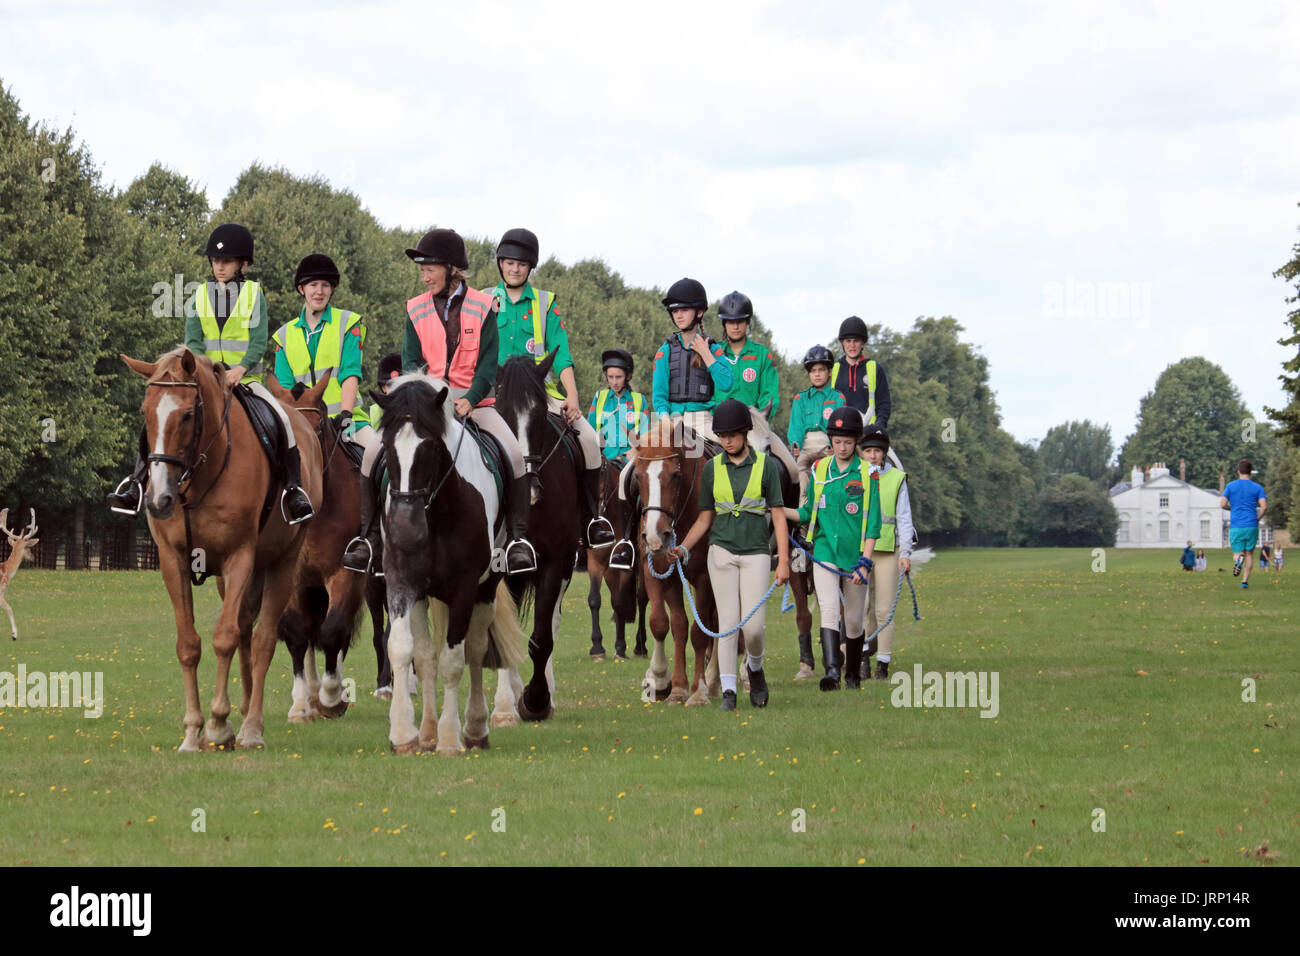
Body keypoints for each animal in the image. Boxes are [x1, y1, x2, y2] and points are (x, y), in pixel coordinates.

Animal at [121, 347, 324, 751]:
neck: (199, 477)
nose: (159, 499)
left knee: (261, 639)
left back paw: (251, 727)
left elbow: (224, 637)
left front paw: (217, 724)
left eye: (187, 414)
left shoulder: (239, 557)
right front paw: (193, 730)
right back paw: (243, 713)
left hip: (282, 562)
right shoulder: (173, 560)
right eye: (145, 412)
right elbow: (189, 644)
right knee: (246, 631)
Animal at [276, 379, 366, 722]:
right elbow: (299, 633)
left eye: (316, 430)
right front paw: (302, 704)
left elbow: (333, 630)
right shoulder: (295, 579)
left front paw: (331, 698)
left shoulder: (345, 574)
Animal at [373, 373, 528, 754]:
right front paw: (405, 733)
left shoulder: (464, 588)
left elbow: (455, 662)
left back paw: (474, 728)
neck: (439, 510)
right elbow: (405, 651)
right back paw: (428, 730)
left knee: (475, 650)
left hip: (485, 591)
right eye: (386, 445)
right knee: (427, 657)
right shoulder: (403, 582)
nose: (404, 527)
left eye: (430, 447)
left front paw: (448, 738)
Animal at [585, 459, 648, 661]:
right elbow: (594, 600)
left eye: (601, 474)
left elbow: (621, 603)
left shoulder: (625, 568)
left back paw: (640, 646)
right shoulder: (595, 564)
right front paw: (597, 647)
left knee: (642, 600)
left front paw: (620, 647)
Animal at [634, 415, 719, 706]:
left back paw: (716, 679)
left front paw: (698, 690)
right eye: (637, 476)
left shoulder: (705, 578)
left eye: (675, 475)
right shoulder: (661, 571)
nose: (655, 535)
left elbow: (698, 633)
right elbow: (667, 624)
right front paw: (669, 683)